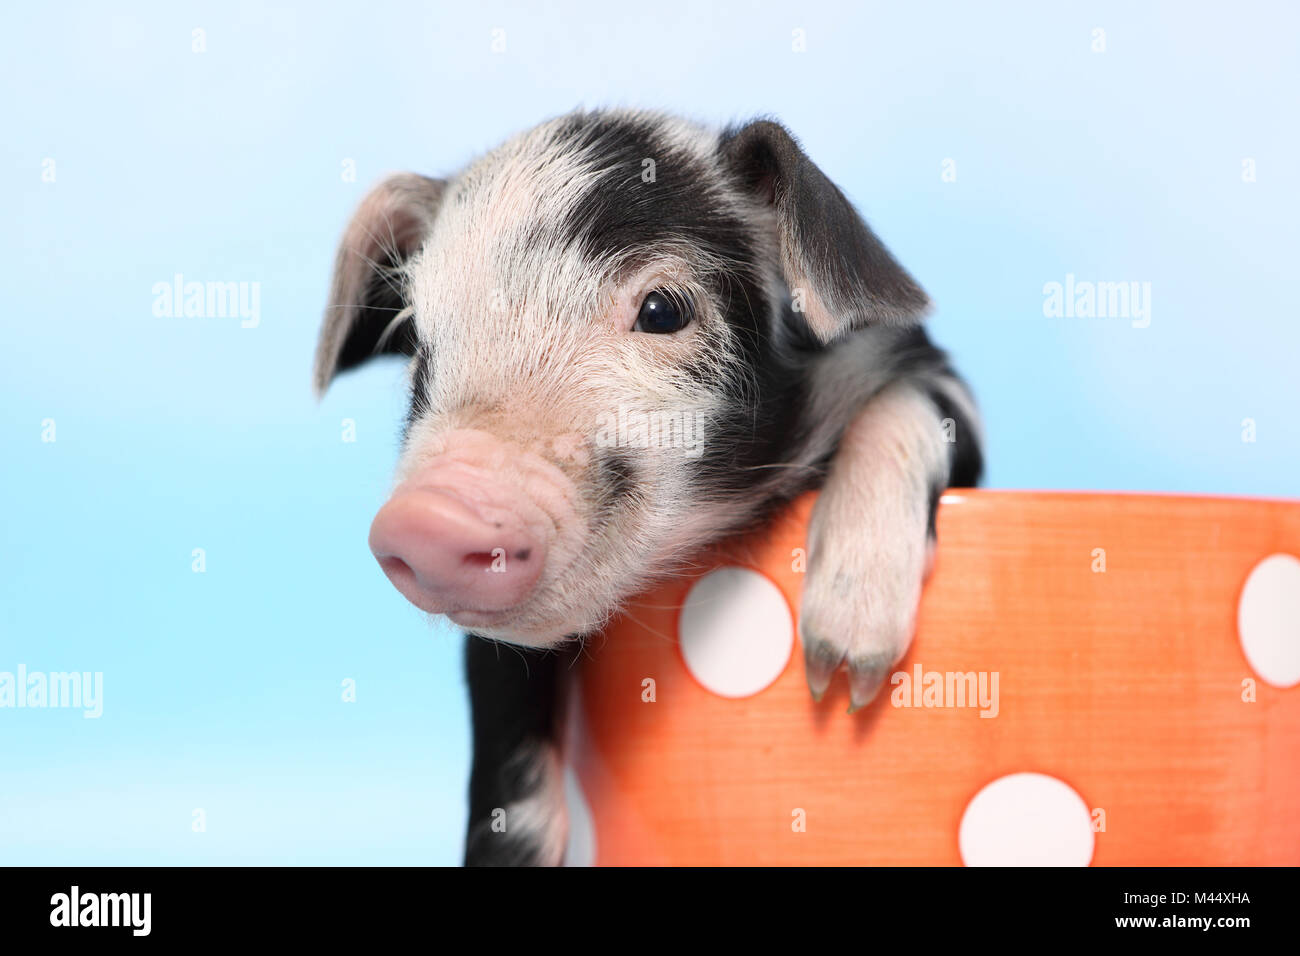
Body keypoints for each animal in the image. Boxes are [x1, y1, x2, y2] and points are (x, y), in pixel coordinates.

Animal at [313, 110, 983, 865]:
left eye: (663, 309)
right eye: (420, 344)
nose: (430, 516)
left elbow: (907, 406)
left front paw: (843, 675)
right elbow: (510, 777)